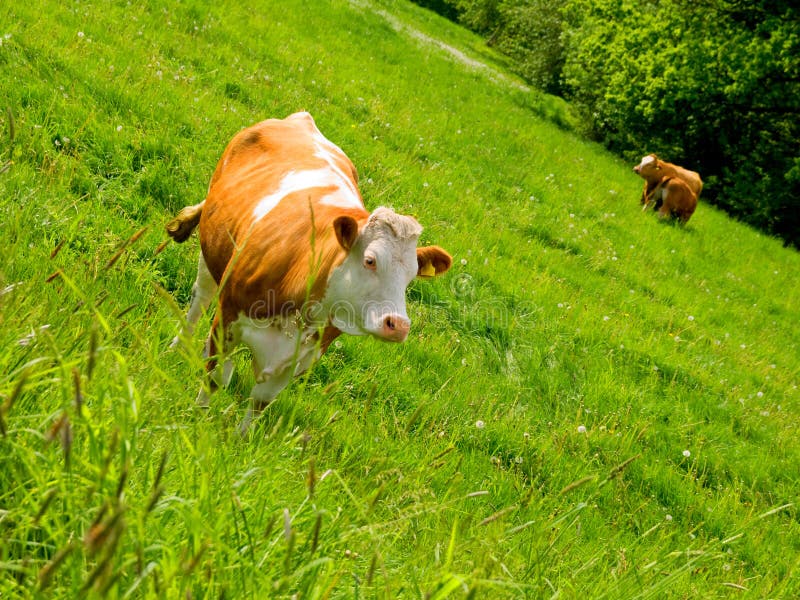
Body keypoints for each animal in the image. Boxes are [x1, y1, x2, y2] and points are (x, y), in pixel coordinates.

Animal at [166, 112, 452, 432]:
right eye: (370, 260)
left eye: (411, 276)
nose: (399, 325)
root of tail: (301, 118)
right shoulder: (228, 314)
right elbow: (214, 375)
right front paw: (197, 415)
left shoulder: (300, 359)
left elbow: (260, 401)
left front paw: (242, 437)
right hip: (212, 247)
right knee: (200, 299)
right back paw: (179, 346)